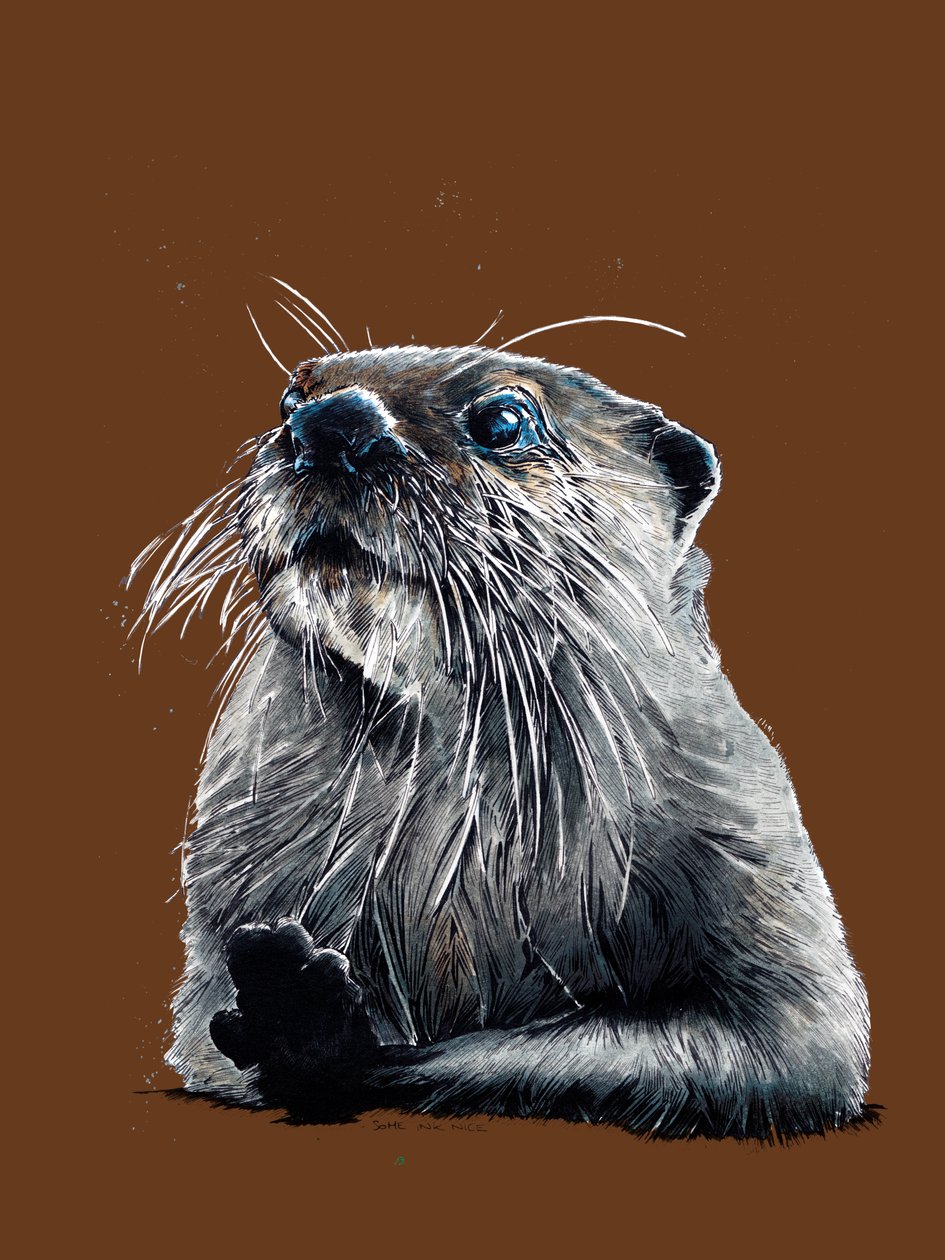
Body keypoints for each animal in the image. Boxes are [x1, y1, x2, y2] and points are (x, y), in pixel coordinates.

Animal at [130, 320, 870, 1138]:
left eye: (505, 422)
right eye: (291, 397)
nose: (328, 422)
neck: (462, 861)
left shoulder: (758, 860)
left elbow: (782, 1045)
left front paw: (314, 1031)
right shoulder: (226, 894)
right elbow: (208, 1045)